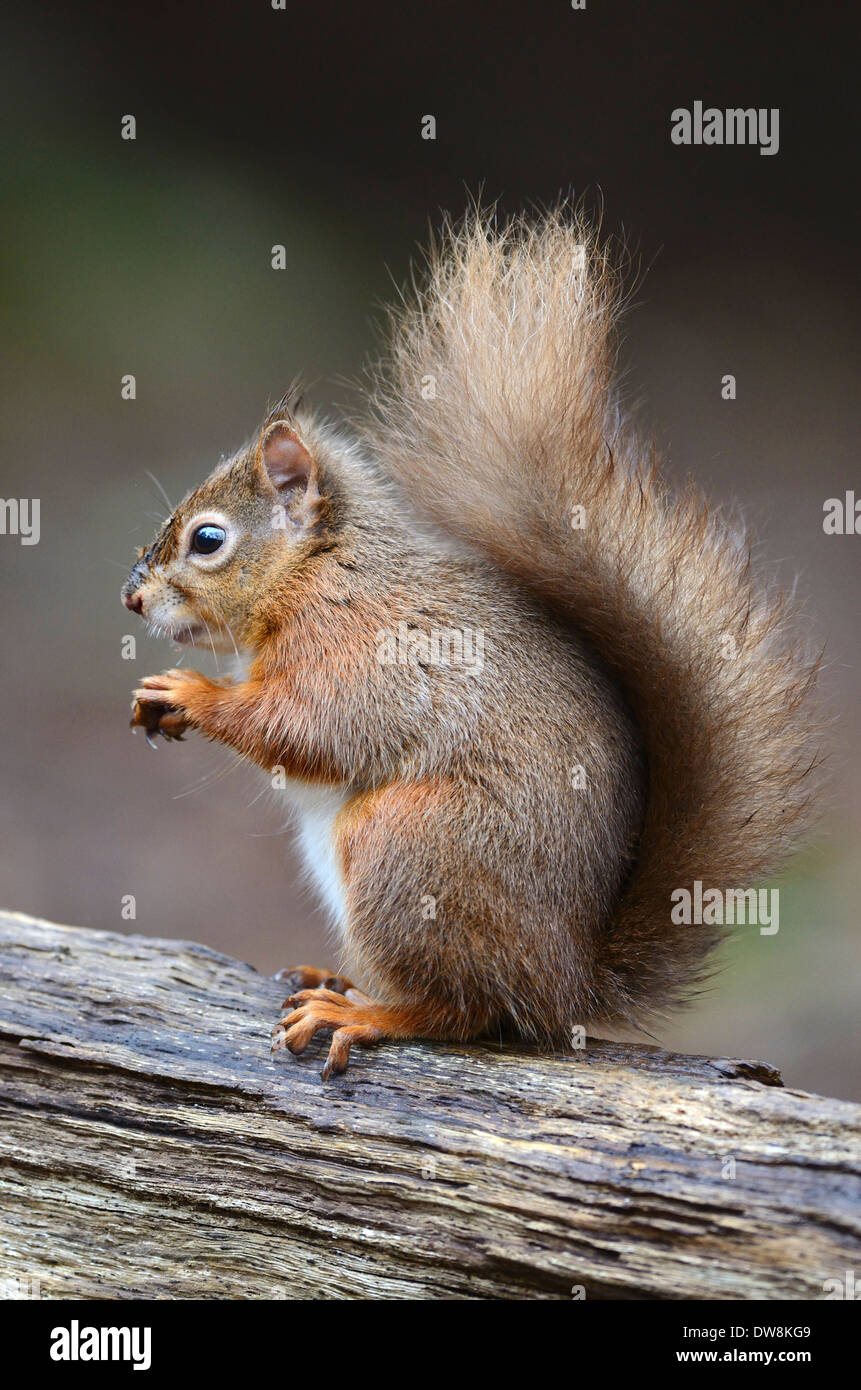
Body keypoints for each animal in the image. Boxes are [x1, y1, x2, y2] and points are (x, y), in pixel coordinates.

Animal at [123, 210, 821, 1081]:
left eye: (208, 540)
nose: (132, 595)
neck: (321, 572)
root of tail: (566, 983)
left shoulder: (362, 650)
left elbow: (311, 728)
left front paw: (189, 693)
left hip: (408, 849)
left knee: (465, 1011)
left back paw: (364, 1012)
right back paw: (338, 978)